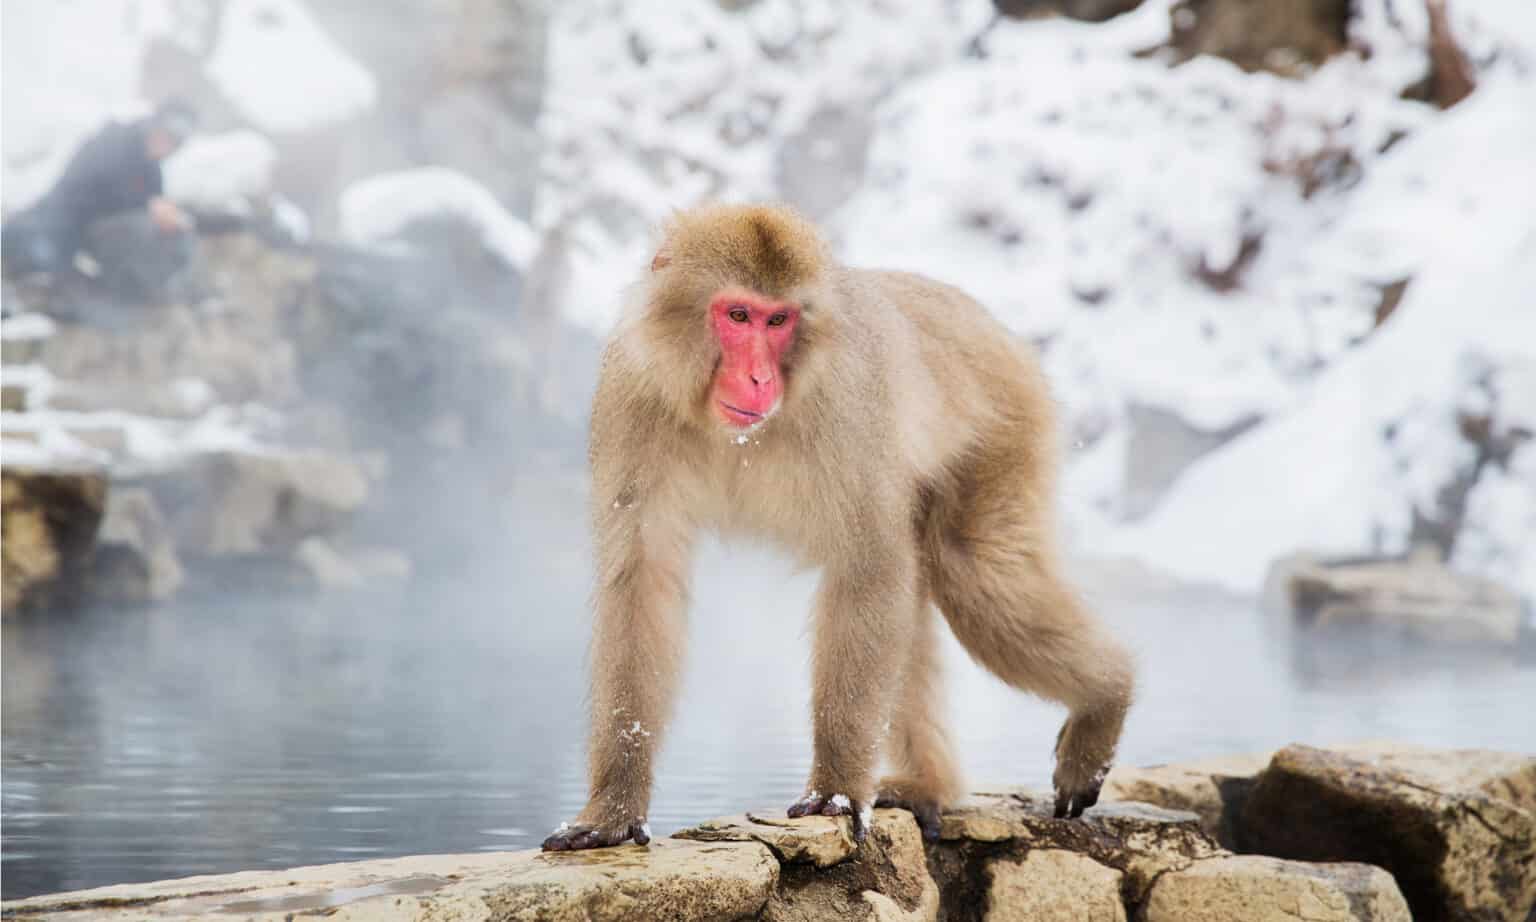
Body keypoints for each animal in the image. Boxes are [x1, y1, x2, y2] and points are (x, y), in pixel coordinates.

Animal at [541, 204, 1135, 851]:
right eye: (738, 315)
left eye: (779, 320)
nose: (759, 379)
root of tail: (989, 322)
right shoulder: (635, 398)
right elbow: (641, 581)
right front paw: (614, 809)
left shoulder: (847, 405)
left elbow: (868, 567)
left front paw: (837, 791)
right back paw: (929, 782)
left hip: (1007, 426)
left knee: (970, 572)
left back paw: (1107, 698)